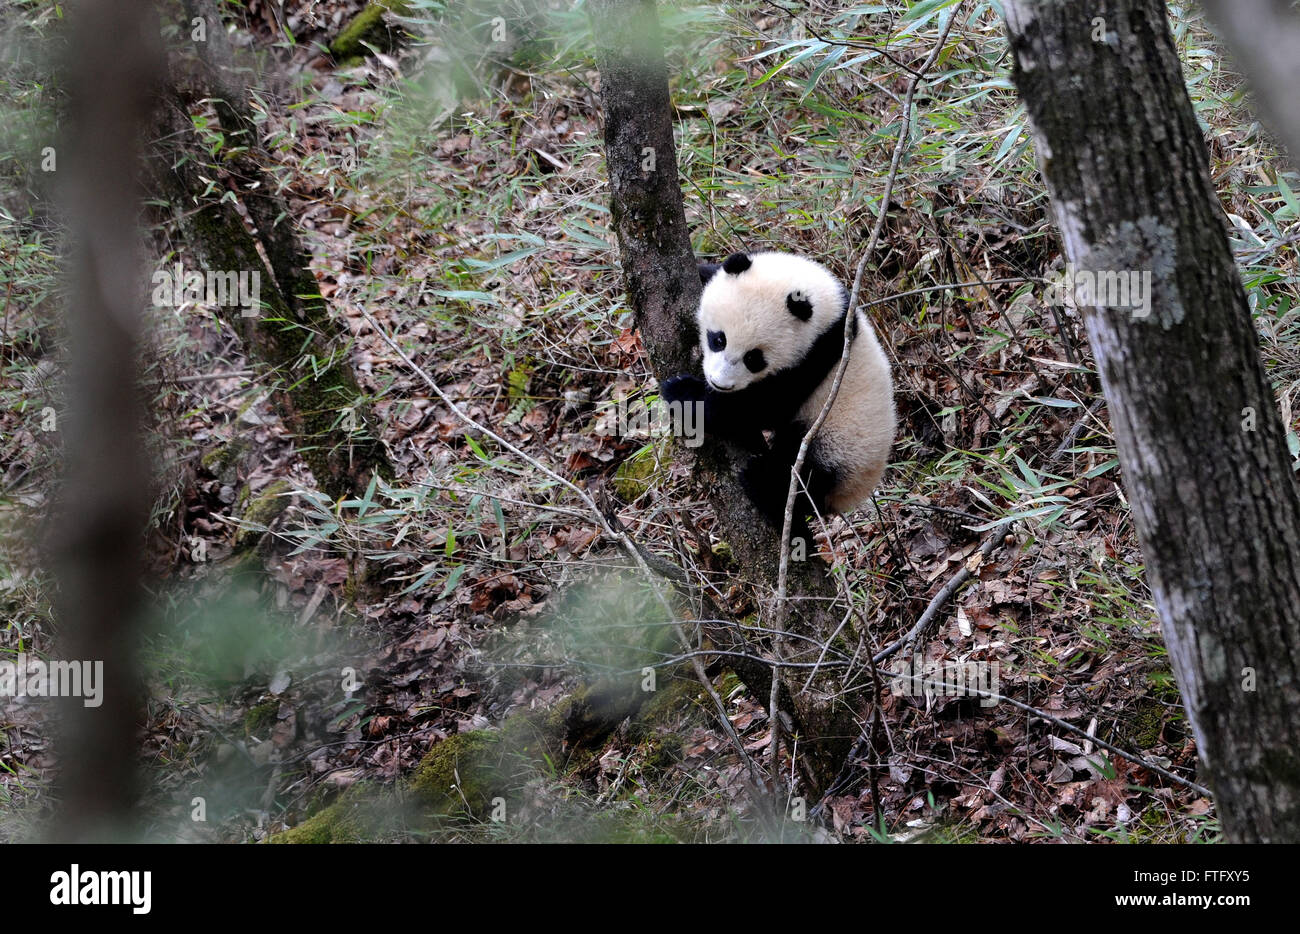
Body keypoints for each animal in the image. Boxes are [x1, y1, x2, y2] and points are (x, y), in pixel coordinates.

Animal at [660, 250, 895, 540]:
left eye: (753, 359)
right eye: (718, 339)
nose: (719, 383)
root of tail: (847, 498)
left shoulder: (818, 356)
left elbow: (759, 408)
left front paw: (683, 393)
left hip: (841, 446)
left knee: (804, 473)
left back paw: (764, 483)